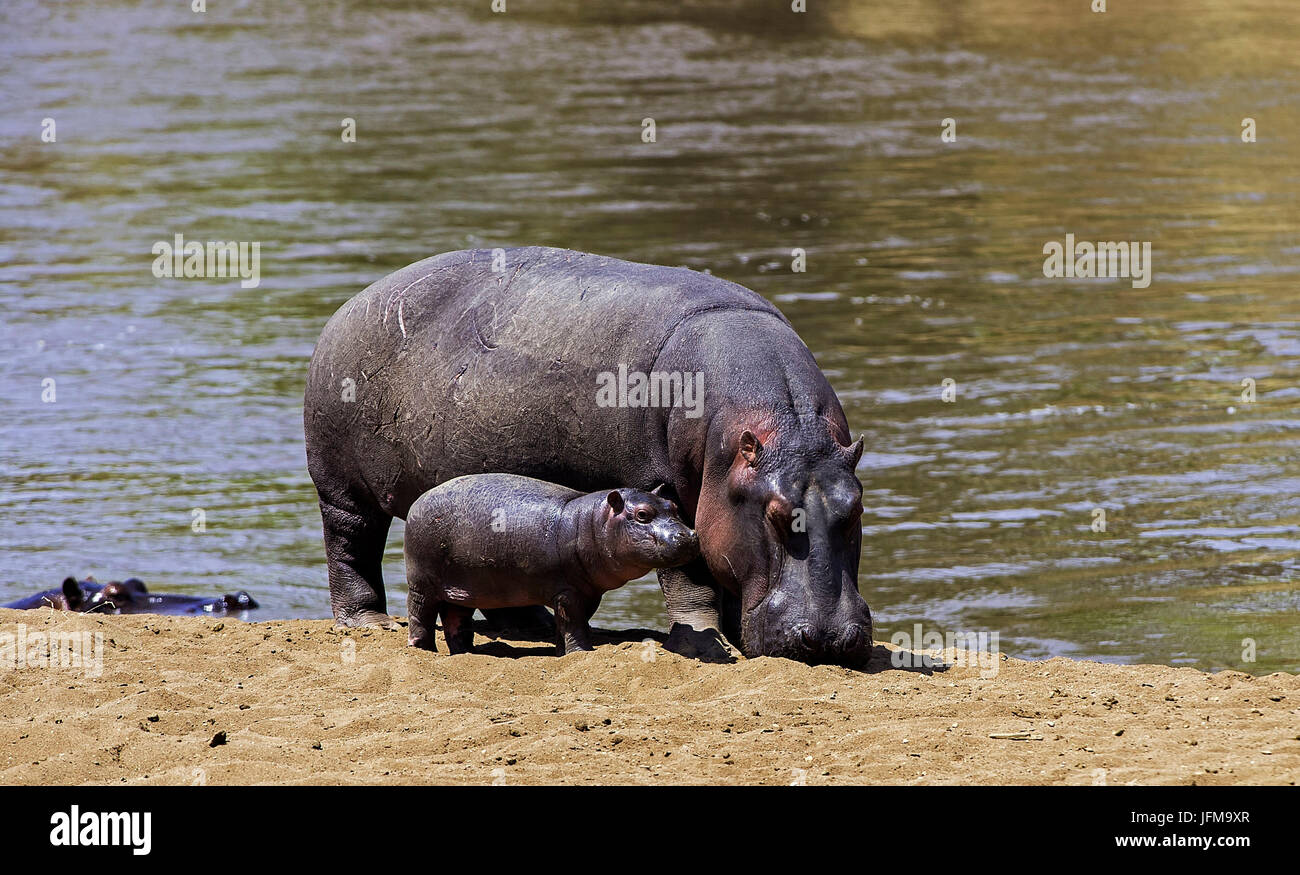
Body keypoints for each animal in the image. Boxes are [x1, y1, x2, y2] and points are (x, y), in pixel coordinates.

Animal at [405, 475, 699, 655]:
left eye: (673, 506)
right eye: (642, 515)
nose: (689, 535)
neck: (589, 522)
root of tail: (418, 500)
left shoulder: (587, 592)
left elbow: (567, 625)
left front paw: (563, 653)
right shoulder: (568, 591)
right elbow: (574, 624)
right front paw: (582, 652)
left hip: (462, 588)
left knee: (456, 619)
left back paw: (466, 653)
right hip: (421, 581)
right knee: (420, 612)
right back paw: (422, 649)